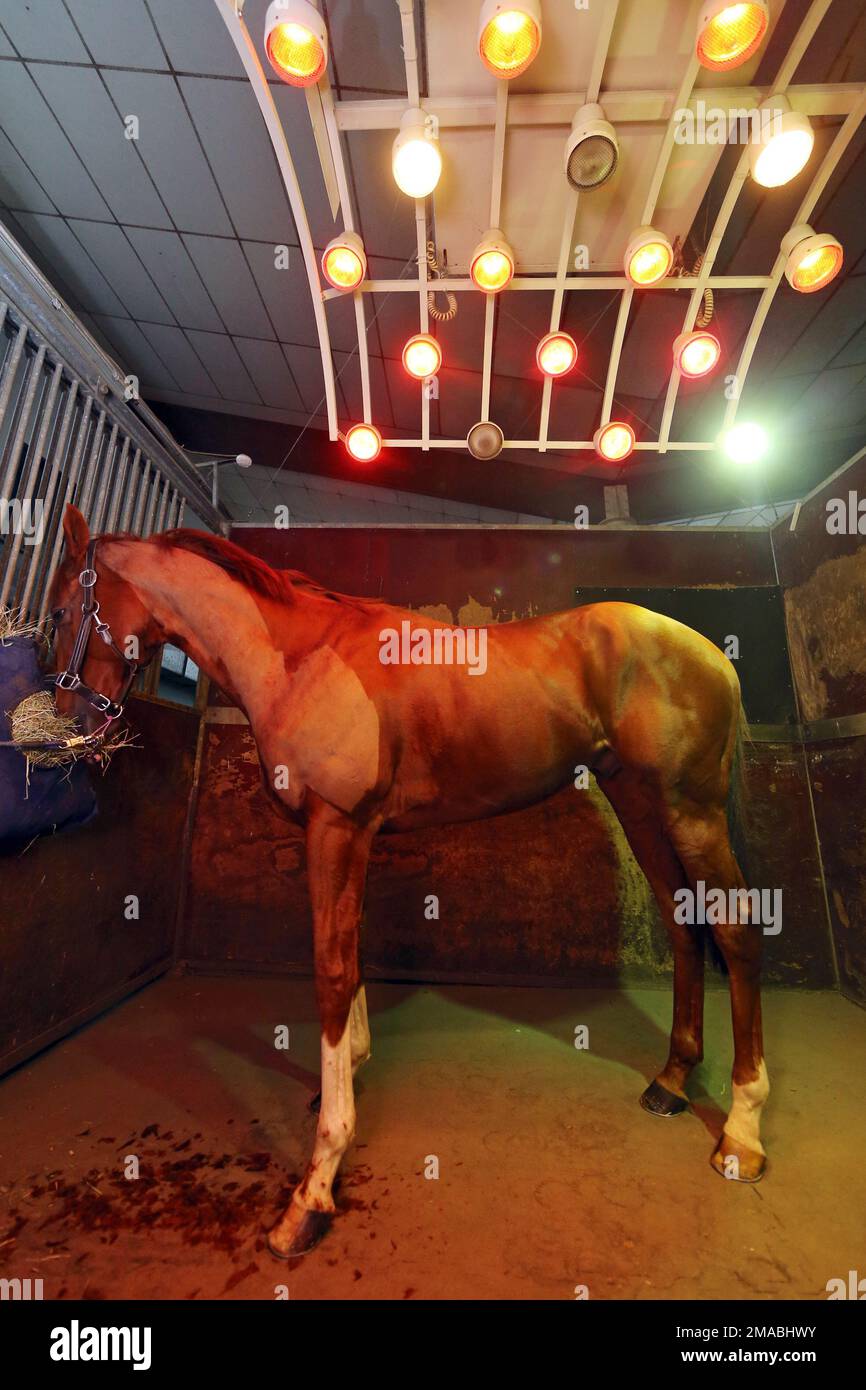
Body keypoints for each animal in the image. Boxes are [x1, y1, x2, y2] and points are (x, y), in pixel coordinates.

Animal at [50, 503, 769, 1259]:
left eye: (63, 609)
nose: (71, 726)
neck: (302, 657)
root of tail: (710, 652)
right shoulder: (354, 838)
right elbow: (353, 953)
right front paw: (351, 1070)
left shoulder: (335, 829)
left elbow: (332, 971)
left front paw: (315, 1185)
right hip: (638, 804)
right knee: (683, 925)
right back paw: (672, 1079)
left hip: (691, 811)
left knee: (736, 930)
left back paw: (742, 1132)